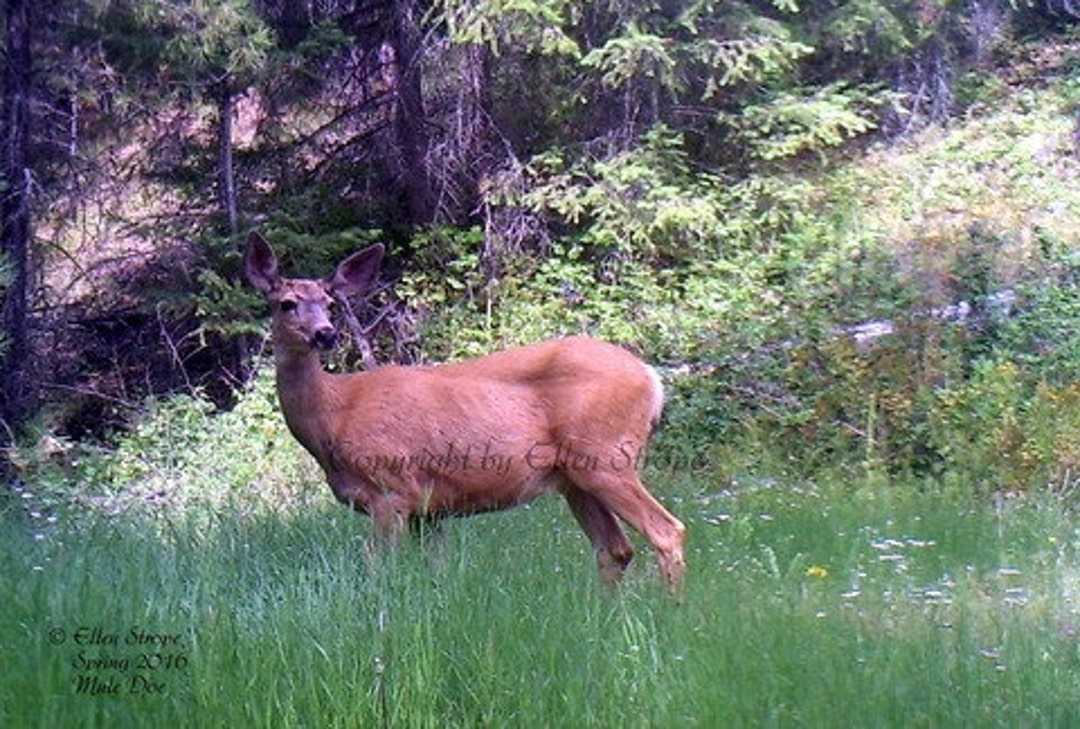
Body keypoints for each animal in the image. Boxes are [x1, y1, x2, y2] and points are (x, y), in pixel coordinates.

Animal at [243, 232, 686, 592]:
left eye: (331, 303)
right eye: (287, 304)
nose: (326, 333)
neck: (333, 415)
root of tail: (650, 377)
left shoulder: (391, 488)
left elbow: (376, 567)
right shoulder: (428, 509)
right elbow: (436, 571)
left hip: (606, 457)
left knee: (666, 530)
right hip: (574, 478)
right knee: (615, 549)